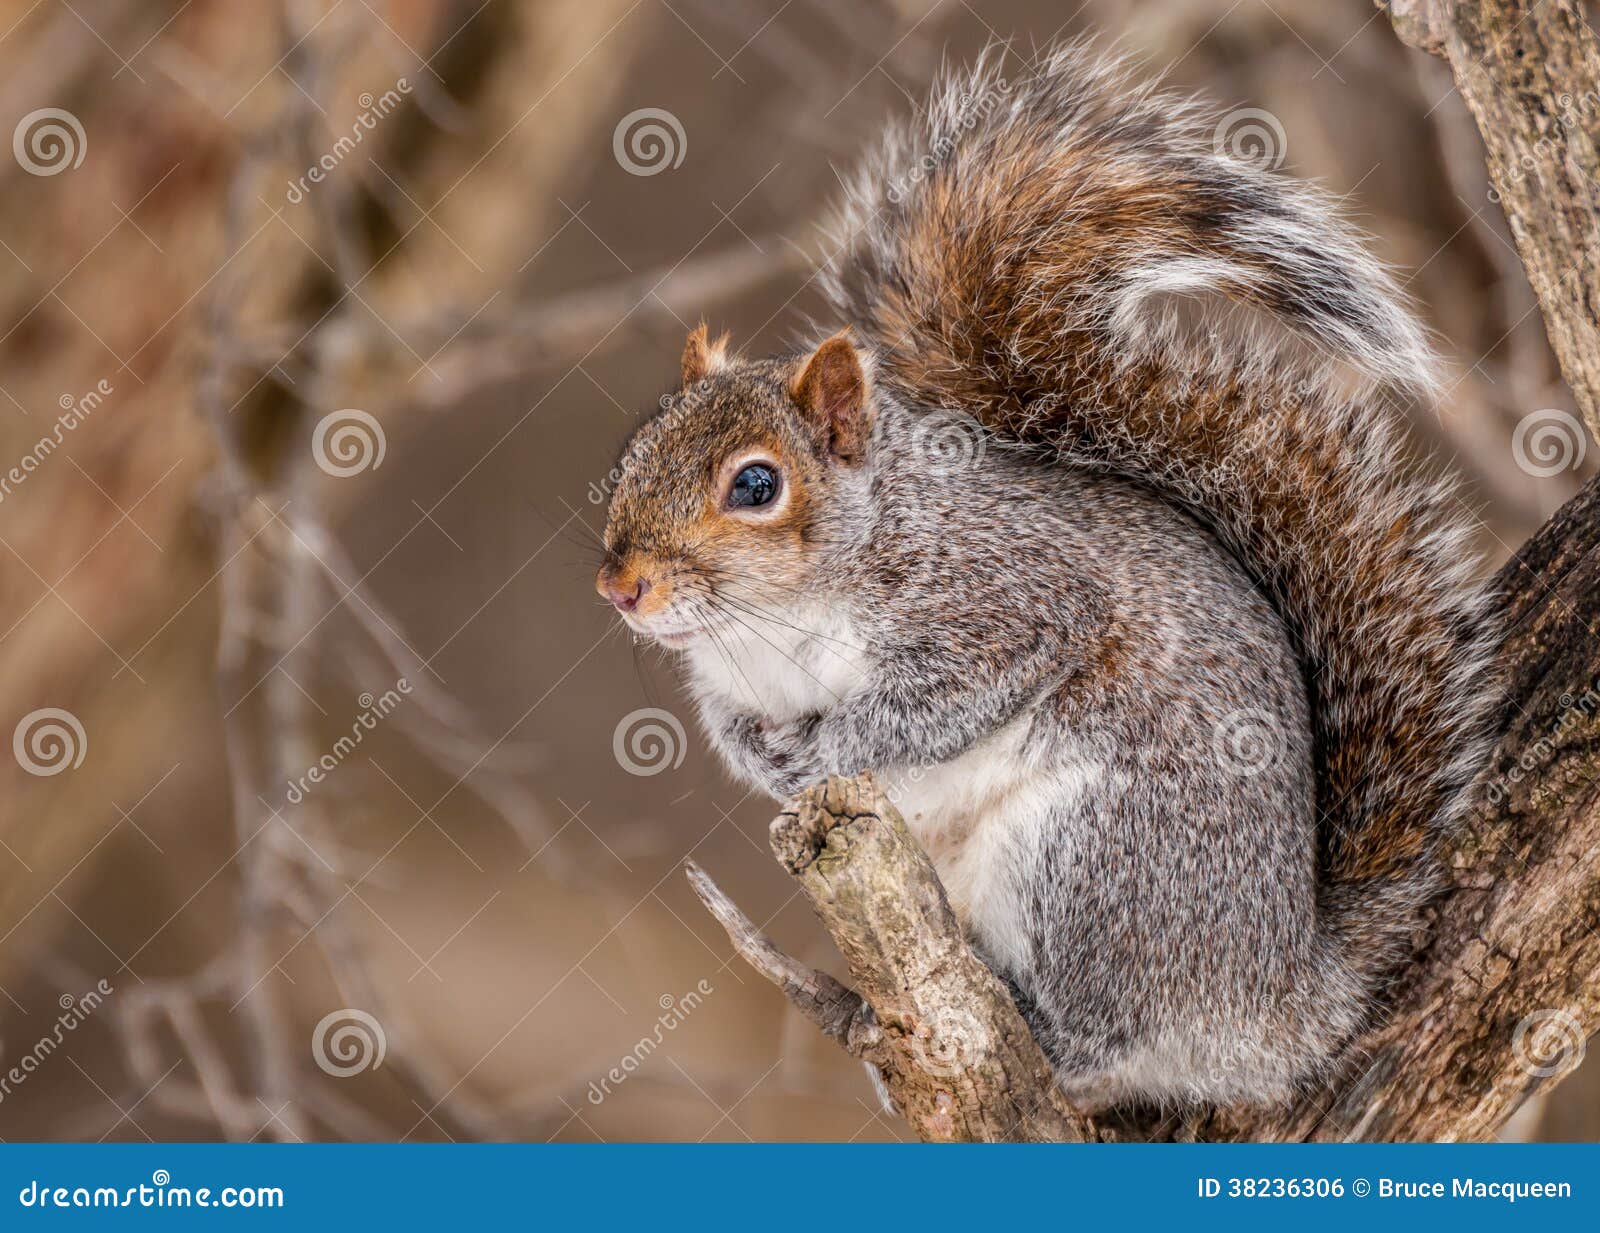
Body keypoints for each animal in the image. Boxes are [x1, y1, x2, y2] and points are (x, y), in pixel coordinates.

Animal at [594, 44, 1498, 1110]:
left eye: (756, 484)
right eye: (634, 452)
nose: (621, 588)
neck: (771, 623)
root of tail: (1280, 1004)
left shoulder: (1011, 597)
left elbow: (947, 696)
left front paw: (834, 747)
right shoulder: (728, 681)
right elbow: (733, 730)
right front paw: (768, 762)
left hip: (1094, 859)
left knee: (1114, 1026)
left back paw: (1058, 1044)